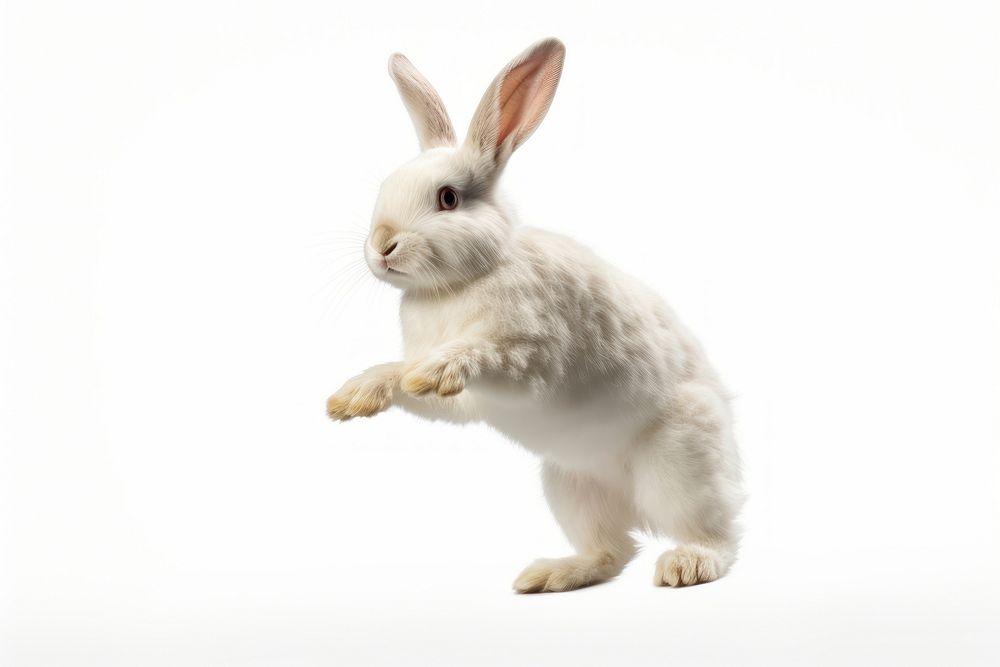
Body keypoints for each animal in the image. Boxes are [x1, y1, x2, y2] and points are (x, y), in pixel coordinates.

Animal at [326, 38, 744, 593]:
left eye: (448, 198)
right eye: (384, 189)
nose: (381, 246)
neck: (456, 285)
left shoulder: (532, 356)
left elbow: (484, 353)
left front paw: (435, 369)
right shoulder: (468, 405)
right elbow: (405, 380)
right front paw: (355, 396)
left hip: (682, 462)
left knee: (717, 536)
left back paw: (685, 565)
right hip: (568, 483)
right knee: (612, 552)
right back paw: (548, 575)